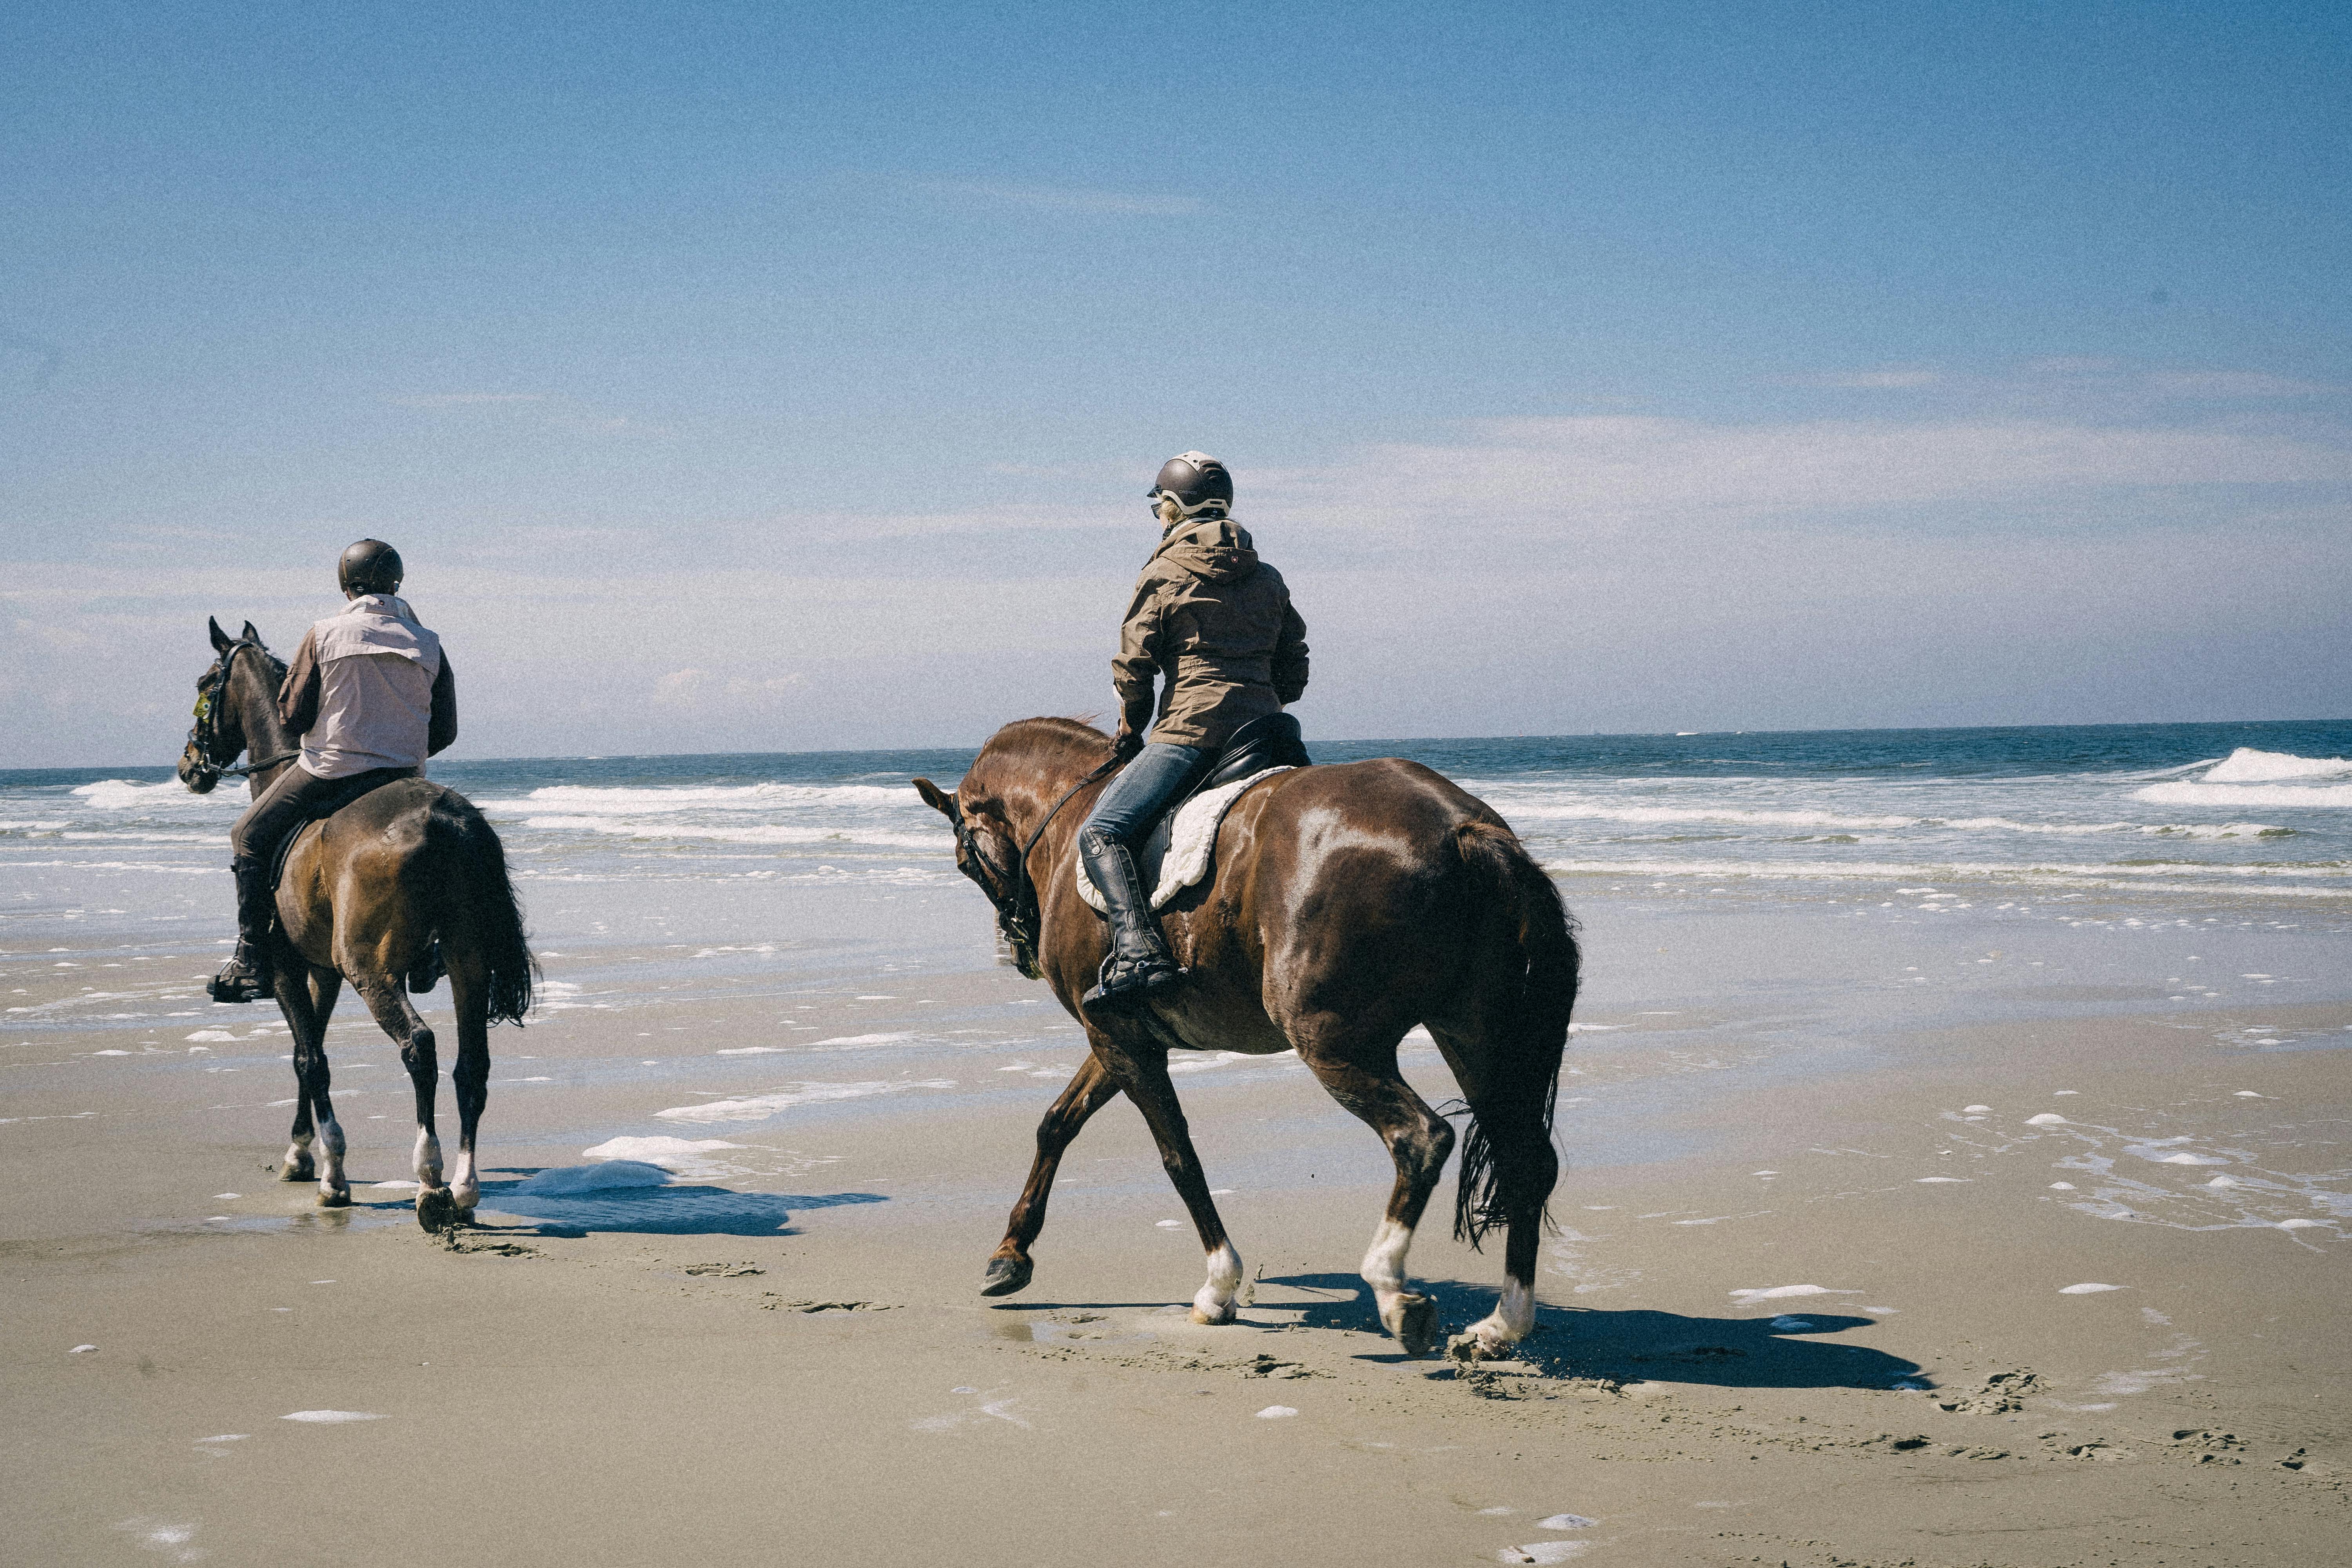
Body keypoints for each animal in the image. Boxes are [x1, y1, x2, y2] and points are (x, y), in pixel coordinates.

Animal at [179, 616, 536, 1230]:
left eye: (206, 685)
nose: (188, 767)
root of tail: (445, 817)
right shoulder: (323, 972)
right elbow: (307, 1056)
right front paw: (301, 1154)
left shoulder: (287, 968)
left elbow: (311, 1059)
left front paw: (331, 1176)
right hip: (467, 961)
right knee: (472, 1065)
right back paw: (465, 1188)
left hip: (372, 968)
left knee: (420, 1047)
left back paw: (430, 1182)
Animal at [913, 718, 1578, 1357]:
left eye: (964, 862)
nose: (1017, 944)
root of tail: (1462, 828)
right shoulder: (1120, 1034)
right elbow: (1057, 1123)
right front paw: (1009, 1256)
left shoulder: (1120, 1040)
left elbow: (1178, 1157)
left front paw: (1218, 1287)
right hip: (1476, 1037)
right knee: (1526, 1159)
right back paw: (1503, 1324)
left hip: (1331, 1041)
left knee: (1420, 1138)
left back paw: (1394, 1292)